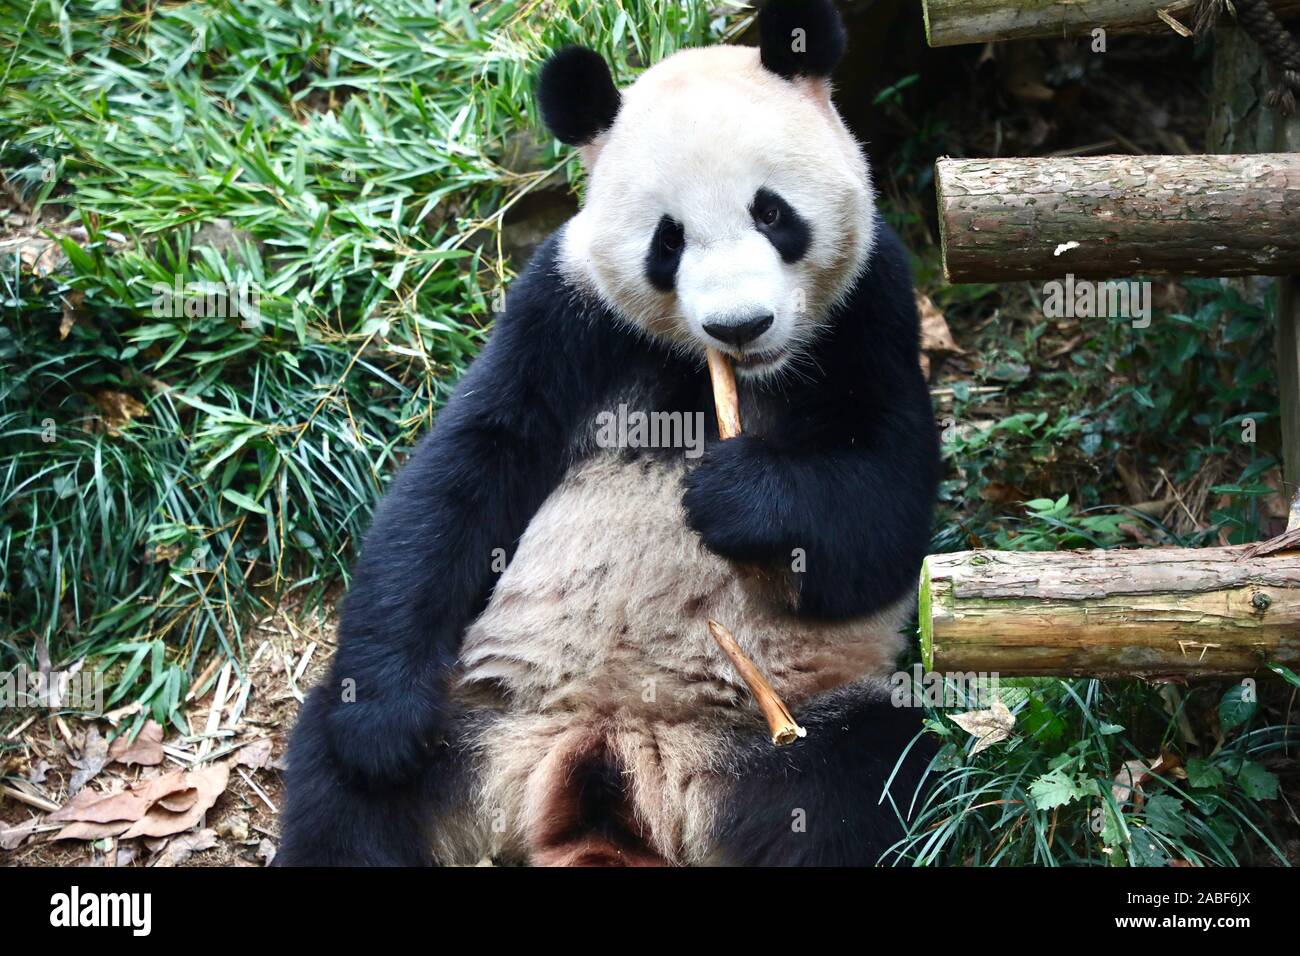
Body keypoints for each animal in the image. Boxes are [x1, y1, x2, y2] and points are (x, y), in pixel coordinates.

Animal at [279, 0, 940, 867]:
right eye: (668, 239)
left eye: (772, 212)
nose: (740, 325)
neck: (718, 370)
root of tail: (612, 759)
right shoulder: (567, 307)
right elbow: (468, 469)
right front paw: (381, 727)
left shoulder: (874, 304)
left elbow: (887, 508)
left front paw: (738, 497)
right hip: (476, 719)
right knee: (340, 788)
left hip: (785, 732)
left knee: (863, 785)